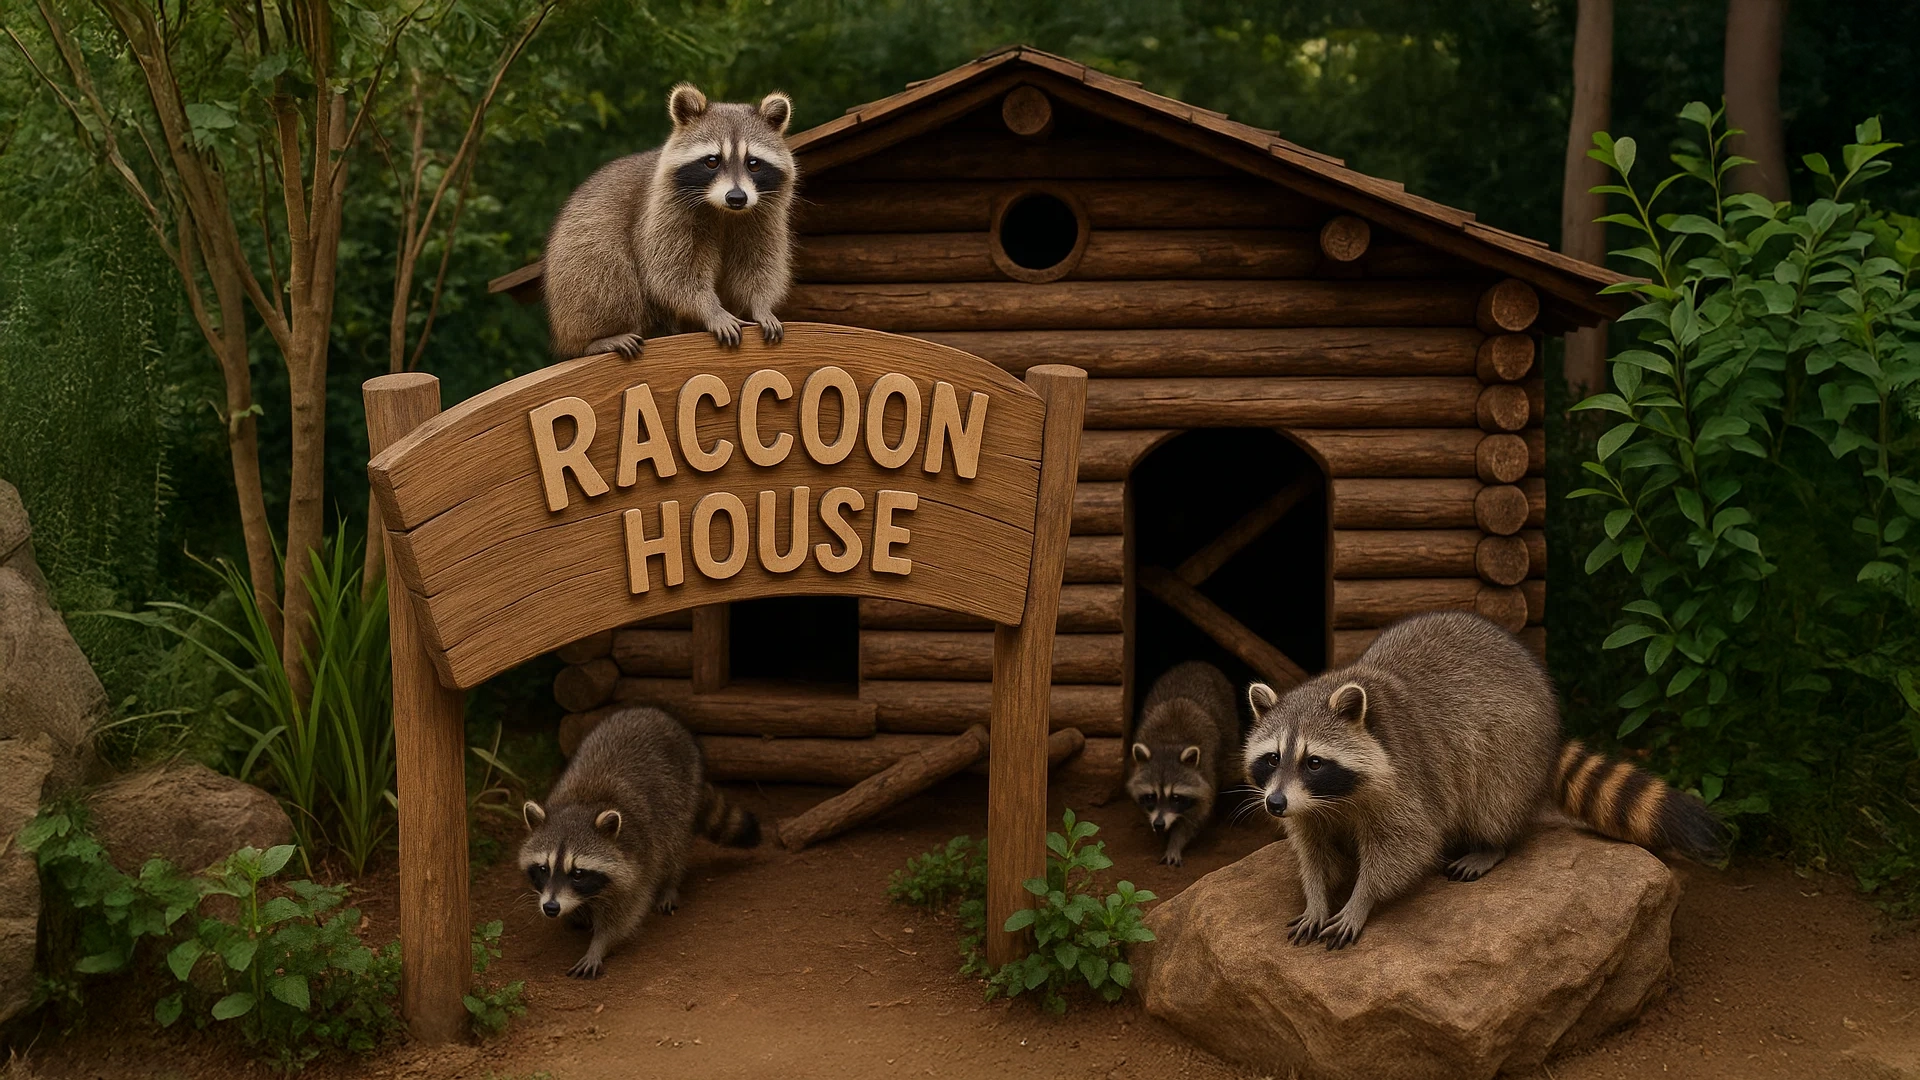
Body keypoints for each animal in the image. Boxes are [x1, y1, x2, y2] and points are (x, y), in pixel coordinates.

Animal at [520, 706, 760, 978]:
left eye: (578, 873)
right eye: (543, 868)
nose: (551, 907)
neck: (583, 803)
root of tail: (652, 711)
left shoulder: (640, 863)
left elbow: (626, 913)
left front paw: (599, 944)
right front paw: (577, 912)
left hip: (683, 795)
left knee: (676, 846)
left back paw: (670, 884)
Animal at [542, 82, 796, 360]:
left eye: (753, 164)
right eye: (712, 161)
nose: (737, 198)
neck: (724, 211)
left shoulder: (764, 218)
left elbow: (760, 264)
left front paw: (760, 306)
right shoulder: (663, 213)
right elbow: (672, 274)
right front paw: (710, 310)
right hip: (579, 247)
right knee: (607, 274)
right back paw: (595, 339)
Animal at [1126, 660, 1240, 867]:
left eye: (1176, 797)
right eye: (1151, 796)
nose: (1159, 824)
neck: (1169, 743)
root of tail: (1198, 662)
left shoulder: (1206, 774)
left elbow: (1193, 819)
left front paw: (1175, 842)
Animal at [1243, 611, 1726, 950]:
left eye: (1313, 762)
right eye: (1272, 758)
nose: (1275, 805)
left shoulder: (1407, 781)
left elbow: (1407, 845)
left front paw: (1362, 899)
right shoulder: (1307, 807)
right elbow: (1313, 851)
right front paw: (1316, 896)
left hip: (1511, 746)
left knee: (1492, 798)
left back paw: (1490, 844)